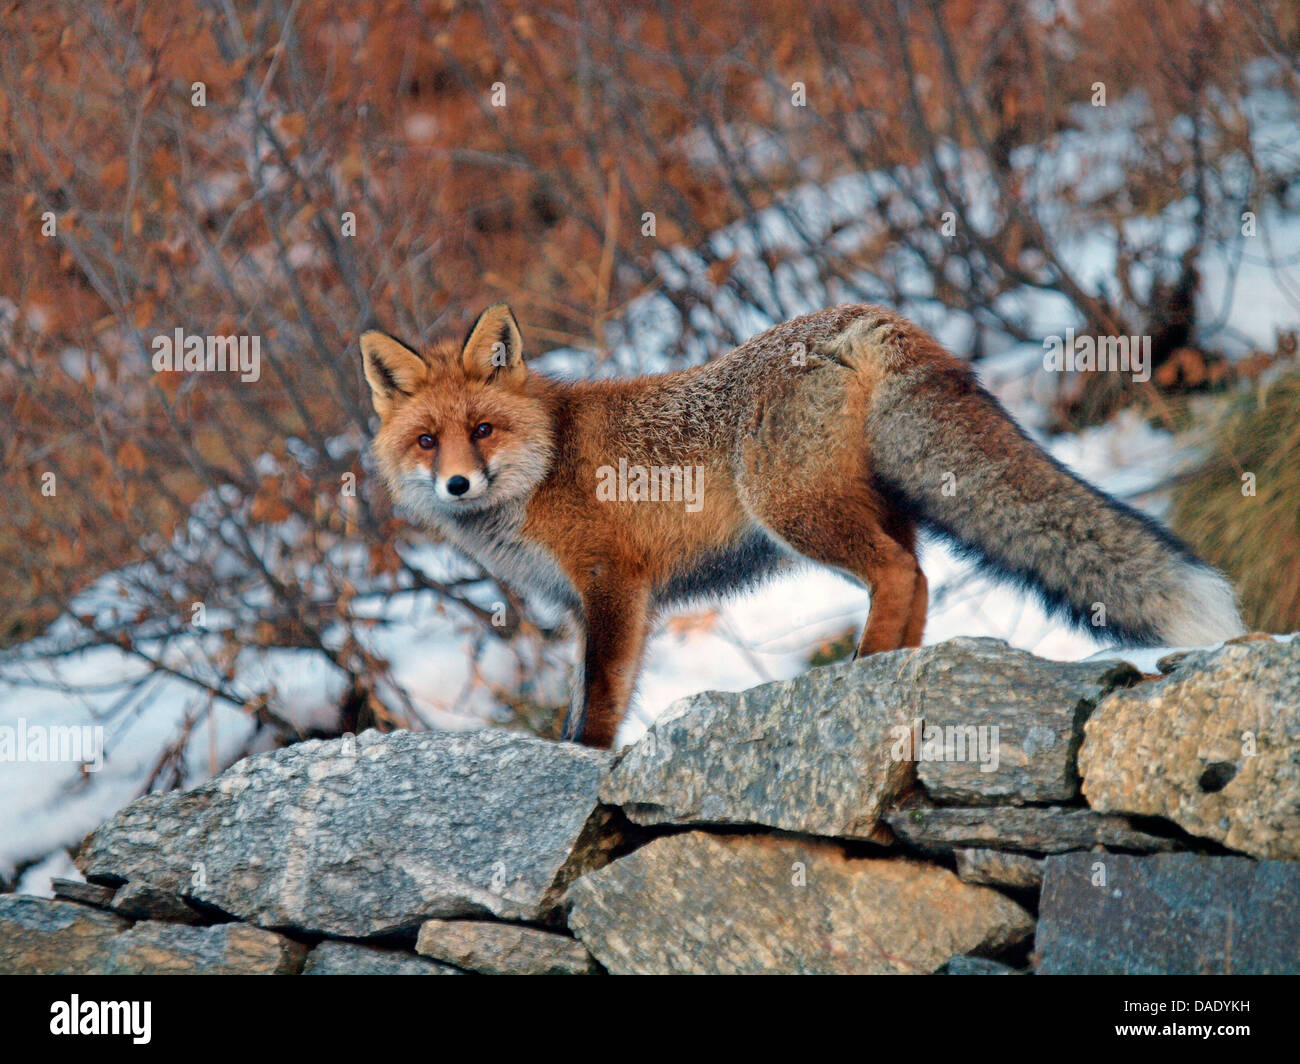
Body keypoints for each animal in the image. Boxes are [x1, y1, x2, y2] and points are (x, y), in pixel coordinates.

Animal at [361, 302, 1245, 748]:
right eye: (427, 440)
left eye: (482, 430)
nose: (457, 482)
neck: (548, 460)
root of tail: (864, 313)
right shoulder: (597, 604)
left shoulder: (614, 587)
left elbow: (600, 703)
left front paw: (582, 761)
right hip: (870, 505)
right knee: (919, 579)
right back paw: (890, 668)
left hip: (794, 513)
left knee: (899, 575)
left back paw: (862, 673)